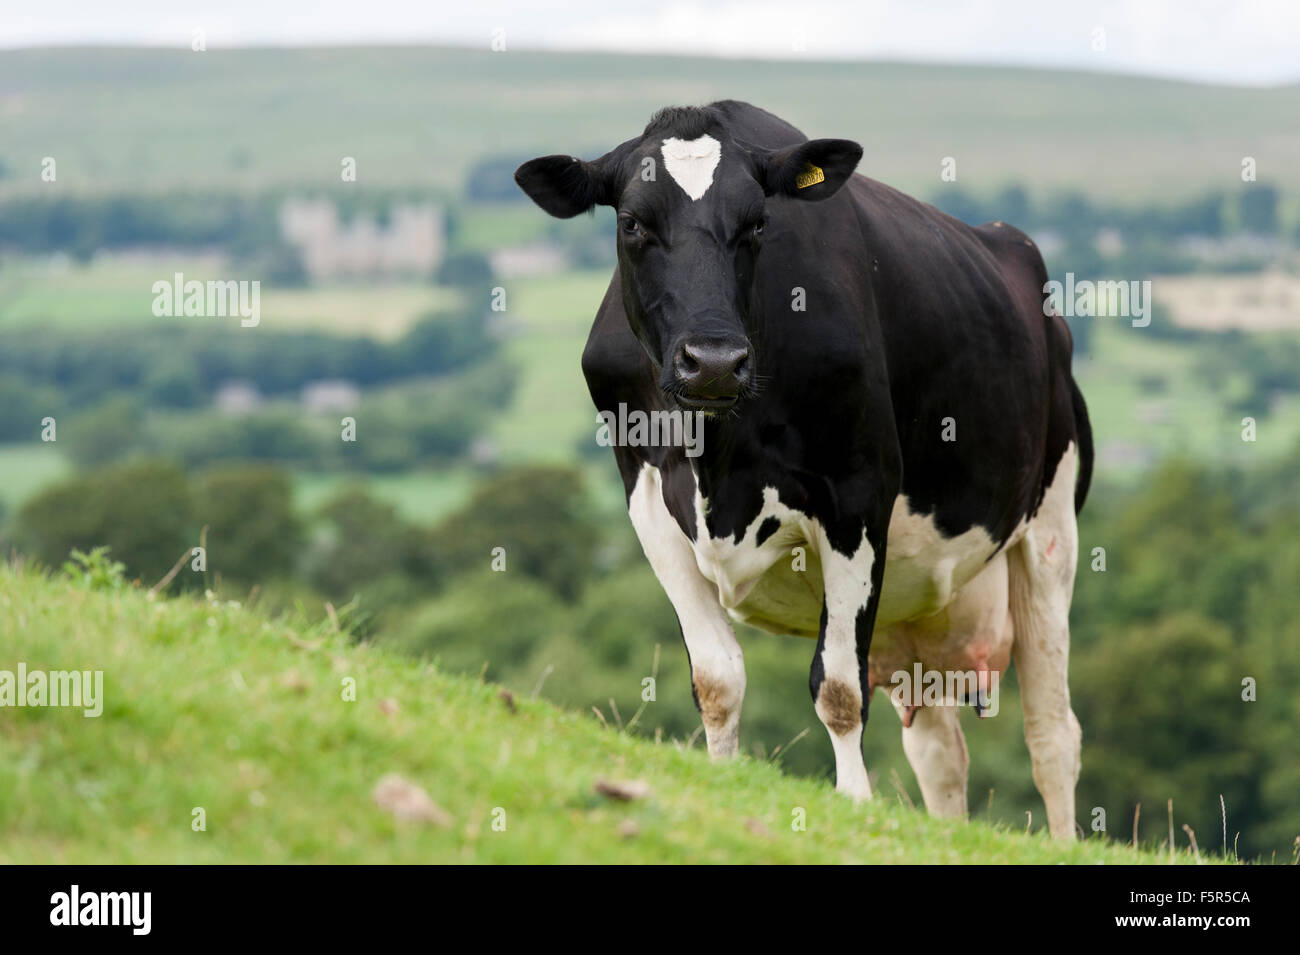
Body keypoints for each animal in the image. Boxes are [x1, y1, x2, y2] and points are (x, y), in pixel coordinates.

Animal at [515, 100, 1093, 839]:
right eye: (632, 222)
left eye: (759, 223)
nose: (712, 361)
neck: (717, 456)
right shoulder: (646, 498)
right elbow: (717, 680)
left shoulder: (855, 497)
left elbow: (839, 688)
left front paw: (855, 804)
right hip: (911, 605)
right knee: (941, 753)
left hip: (1049, 531)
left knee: (1052, 731)